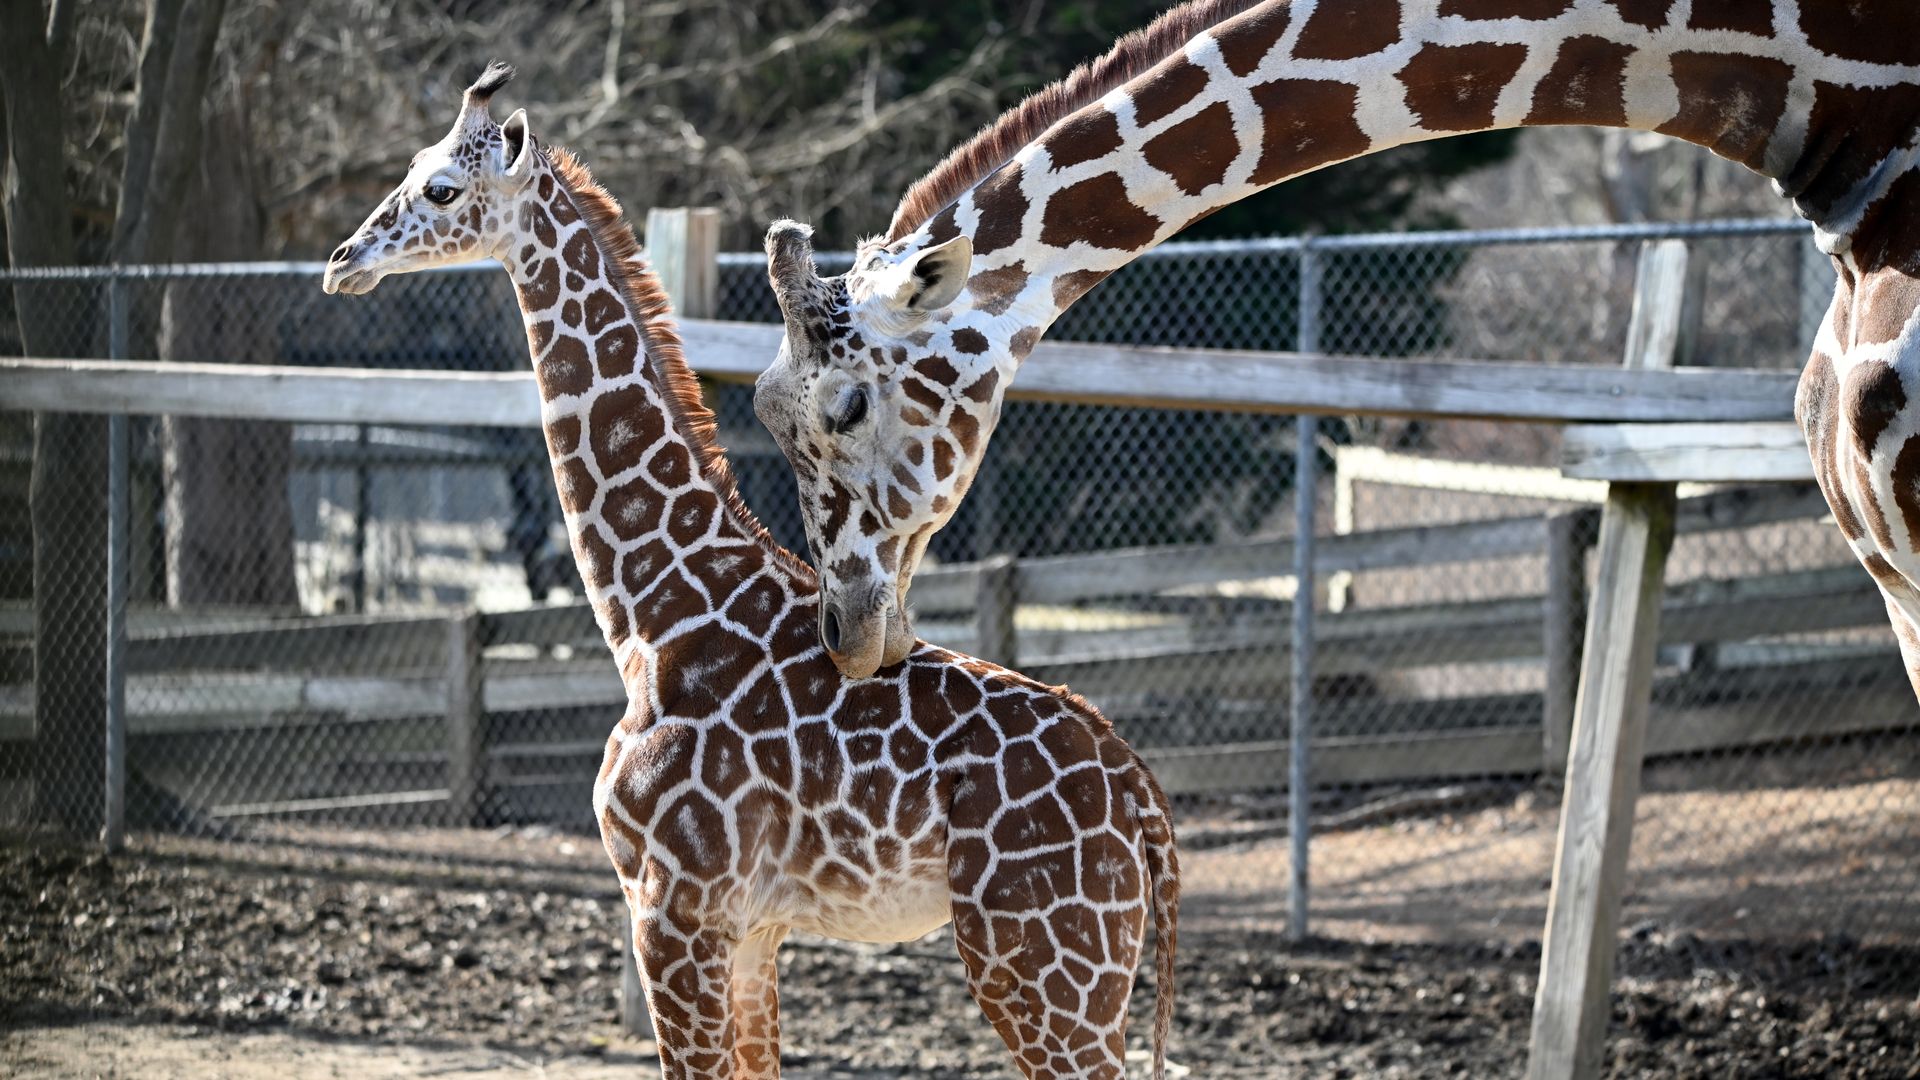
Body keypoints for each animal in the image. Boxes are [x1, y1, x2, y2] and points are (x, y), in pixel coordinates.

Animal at [320, 64, 1180, 1080]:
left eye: (442, 188)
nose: (341, 260)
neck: (656, 615)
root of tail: (1140, 795)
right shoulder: (753, 931)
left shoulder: (672, 907)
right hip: (1085, 969)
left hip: (1045, 963)